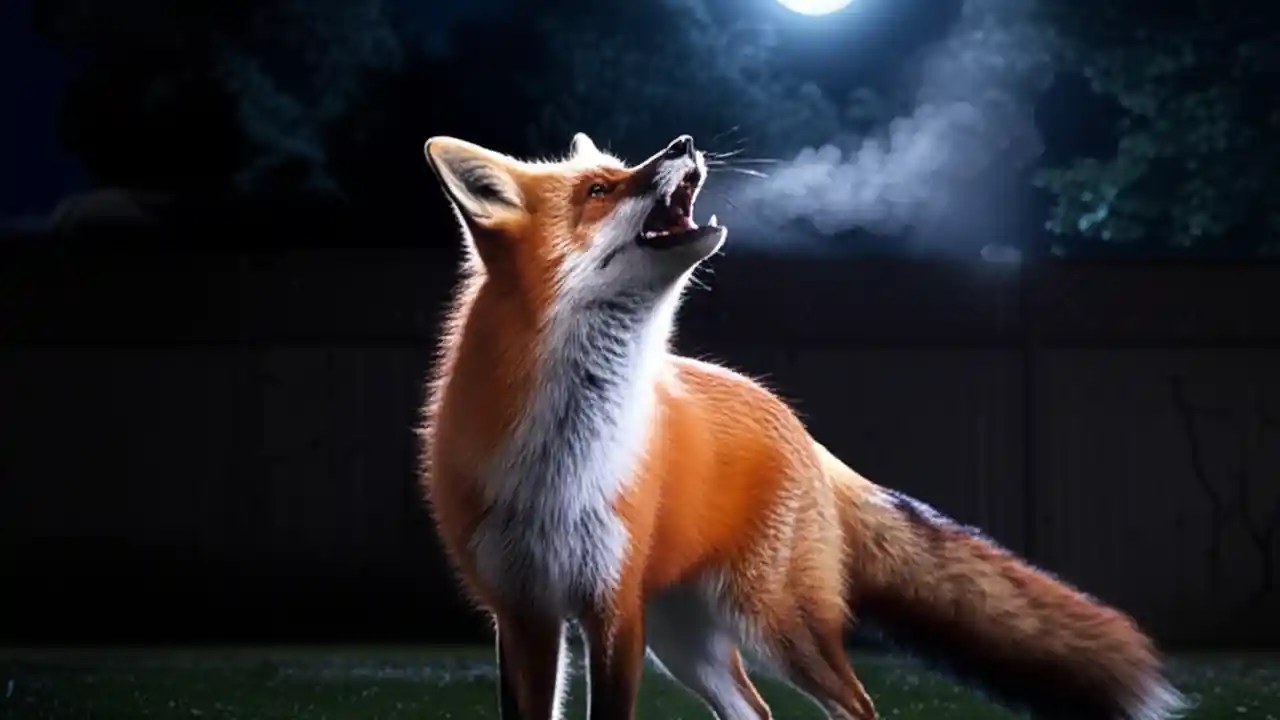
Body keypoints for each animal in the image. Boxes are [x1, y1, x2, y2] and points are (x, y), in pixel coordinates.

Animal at [417, 131, 1187, 720]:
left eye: (623, 167)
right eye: (599, 189)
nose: (684, 142)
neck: (563, 454)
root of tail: (790, 417)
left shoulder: (613, 610)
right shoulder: (522, 615)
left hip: (774, 624)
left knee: (857, 706)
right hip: (687, 642)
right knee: (756, 711)